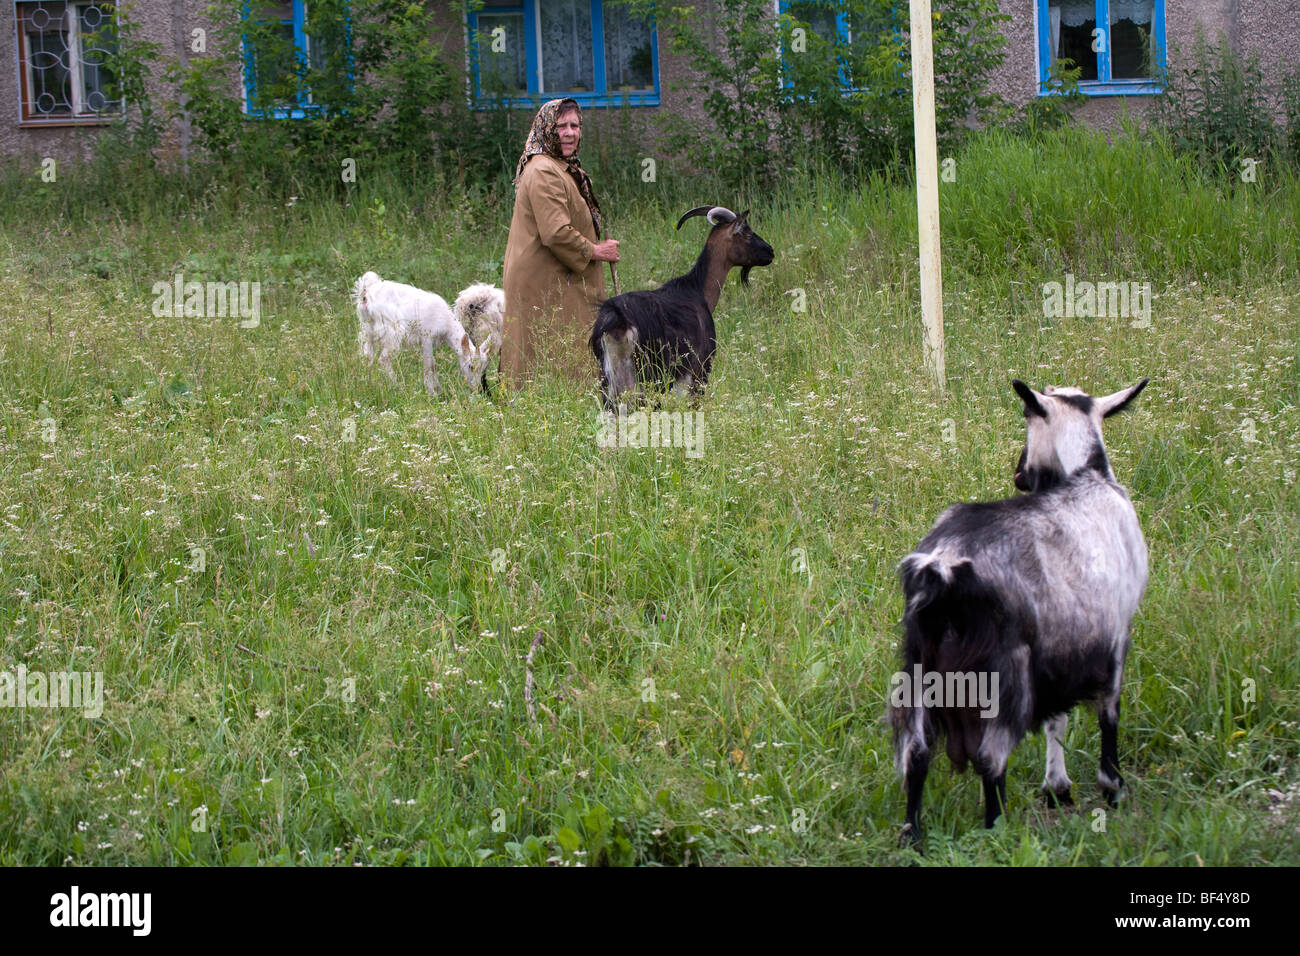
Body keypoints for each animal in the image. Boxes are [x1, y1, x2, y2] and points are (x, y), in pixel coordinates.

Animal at [354, 271, 487, 395]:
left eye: (484, 368)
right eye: (470, 366)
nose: (477, 388)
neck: (446, 322)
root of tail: (366, 294)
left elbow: (433, 364)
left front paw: (439, 390)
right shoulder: (426, 337)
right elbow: (429, 365)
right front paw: (431, 392)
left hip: (368, 330)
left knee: (367, 356)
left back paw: (369, 383)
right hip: (393, 331)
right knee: (384, 358)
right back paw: (398, 386)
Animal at [589, 206, 774, 411]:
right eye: (747, 233)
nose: (770, 251)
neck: (696, 288)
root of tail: (616, 317)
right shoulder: (701, 366)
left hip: (609, 376)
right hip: (651, 374)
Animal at [891, 378, 1150, 845]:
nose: (1019, 475)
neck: (1090, 476)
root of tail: (943, 566)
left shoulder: (1061, 645)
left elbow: (1056, 721)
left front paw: (1057, 789)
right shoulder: (1115, 632)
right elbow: (1108, 711)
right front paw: (1111, 788)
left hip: (921, 667)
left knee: (916, 751)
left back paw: (913, 838)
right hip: (1002, 674)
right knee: (990, 755)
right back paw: (996, 828)